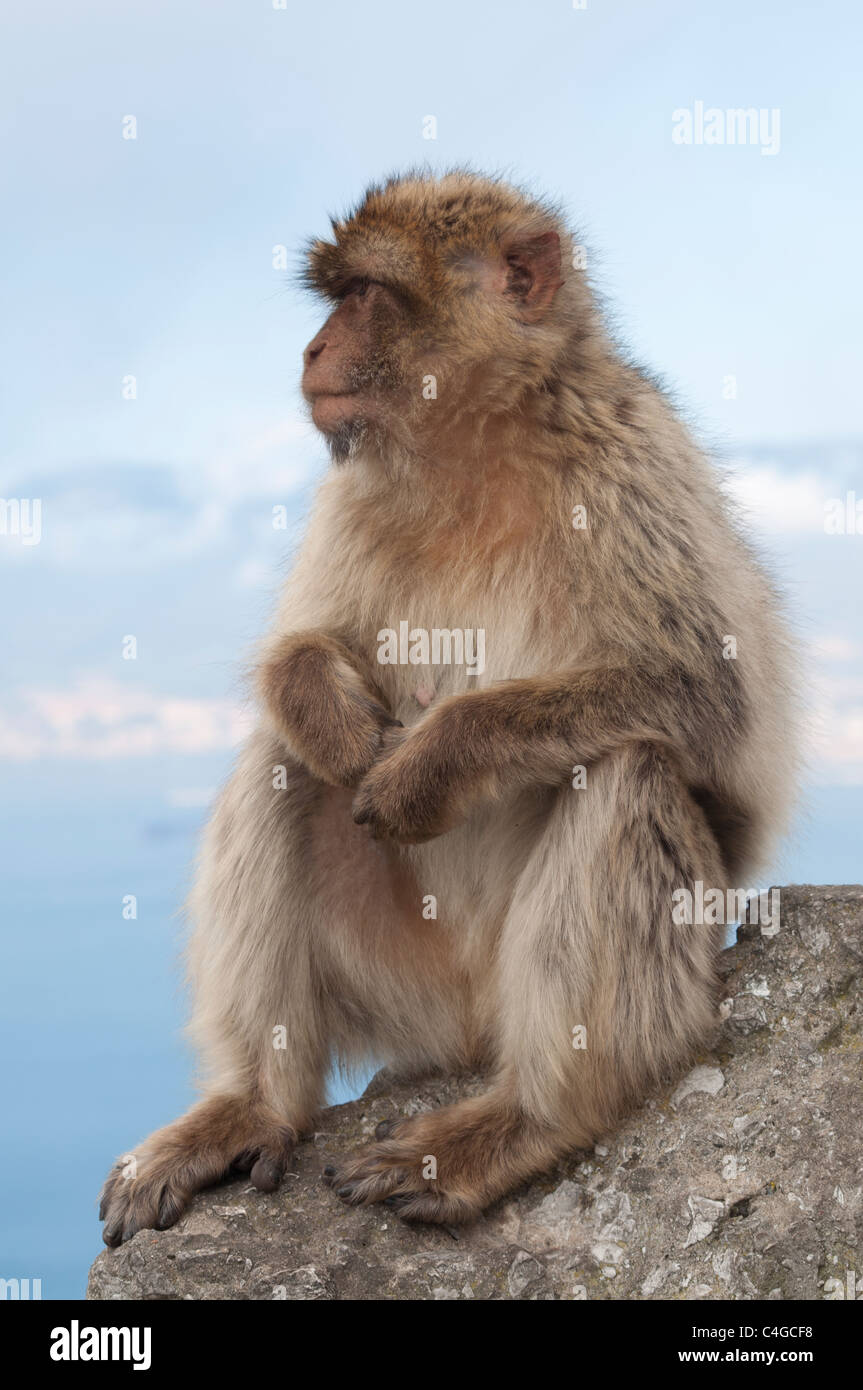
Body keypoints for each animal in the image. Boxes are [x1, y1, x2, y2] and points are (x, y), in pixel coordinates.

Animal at [99, 170, 796, 1243]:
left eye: (367, 295)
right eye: (335, 294)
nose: (311, 350)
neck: (474, 443)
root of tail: (468, 1032)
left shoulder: (631, 458)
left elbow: (702, 699)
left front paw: (434, 761)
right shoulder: (353, 489)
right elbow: (302, 657)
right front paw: (334, 714)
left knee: (628, 769)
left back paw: (528, 1120)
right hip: (404, 985)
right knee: (277, 760)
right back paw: (251, 1104)